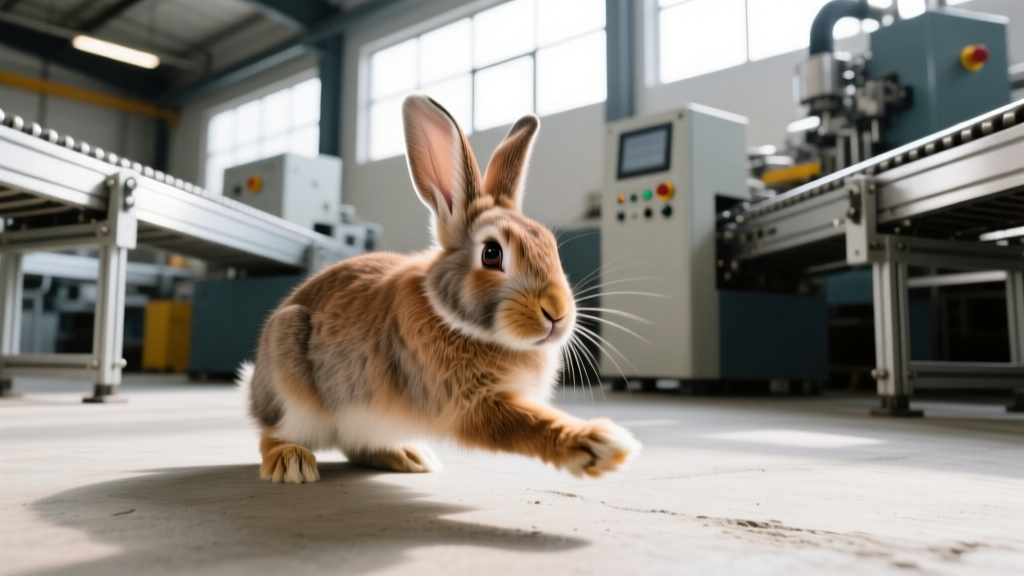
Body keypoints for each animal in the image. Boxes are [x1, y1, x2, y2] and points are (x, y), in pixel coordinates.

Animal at [239, 94, 641, 484]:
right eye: (491, 253)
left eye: (551, 246)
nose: (557, 313)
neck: (453, 318)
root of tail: (254, 390)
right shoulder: (469, 404)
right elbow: (527, 424)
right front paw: (601, 444)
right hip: (291, 379)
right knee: (272, 435)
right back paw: (291, 462)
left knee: (357, 447)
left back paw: (410, 455)